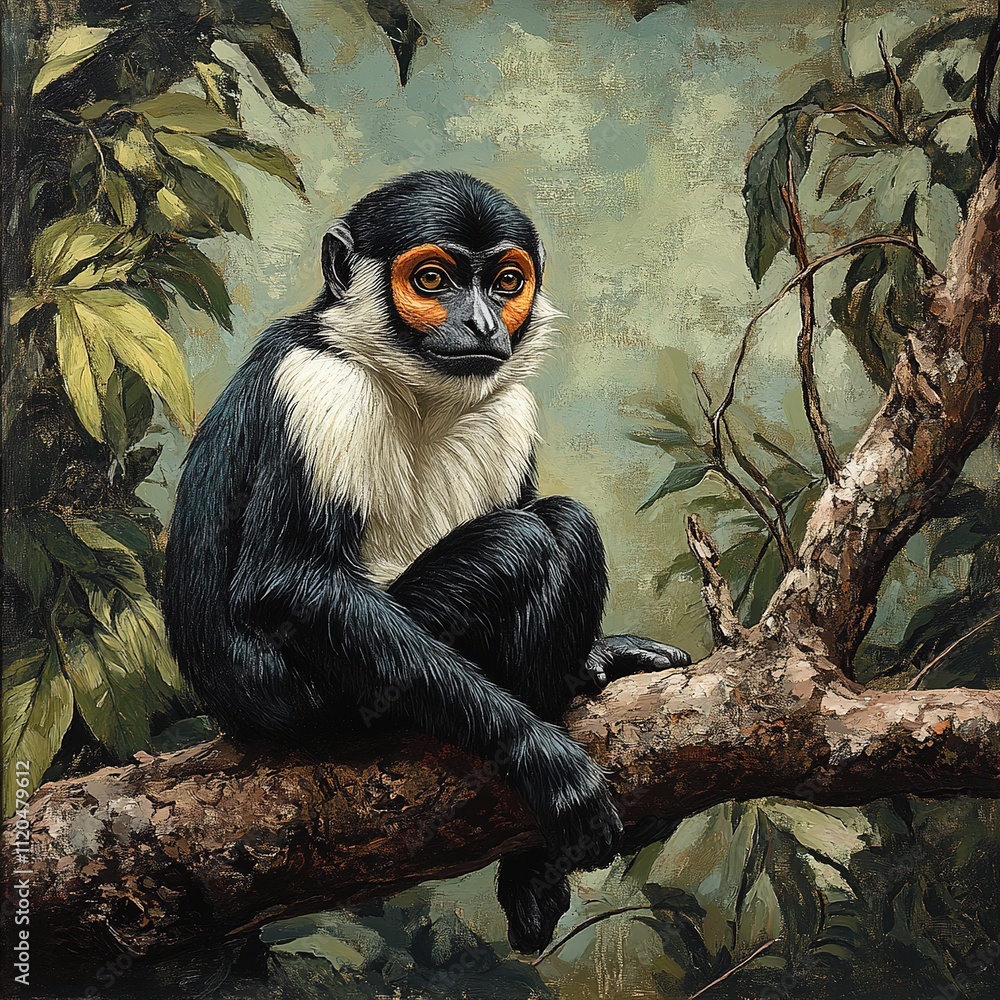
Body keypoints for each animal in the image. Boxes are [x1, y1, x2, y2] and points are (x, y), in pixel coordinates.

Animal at [162, 170, 690, 953]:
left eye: (505, 283)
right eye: (434, 280)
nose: (482, 324)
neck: (410, 388)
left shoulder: (510, 407)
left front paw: (602, 654)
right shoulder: (317, 388)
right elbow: (287, 588)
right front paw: (541, 755)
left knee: (561, 526)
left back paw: (532, 866)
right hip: (314, 698)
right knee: (529, 538)